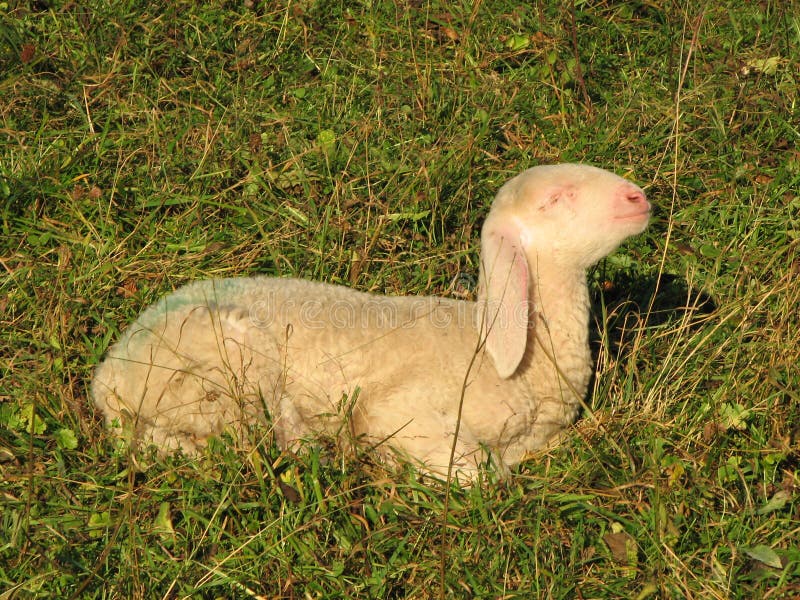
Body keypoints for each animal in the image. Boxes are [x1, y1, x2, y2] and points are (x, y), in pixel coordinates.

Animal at [91, 163, 650, 480]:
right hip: (226, 364)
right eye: (556, 200)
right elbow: (483, 475)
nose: (639, 198)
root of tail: (108, 377)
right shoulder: (402, 412)